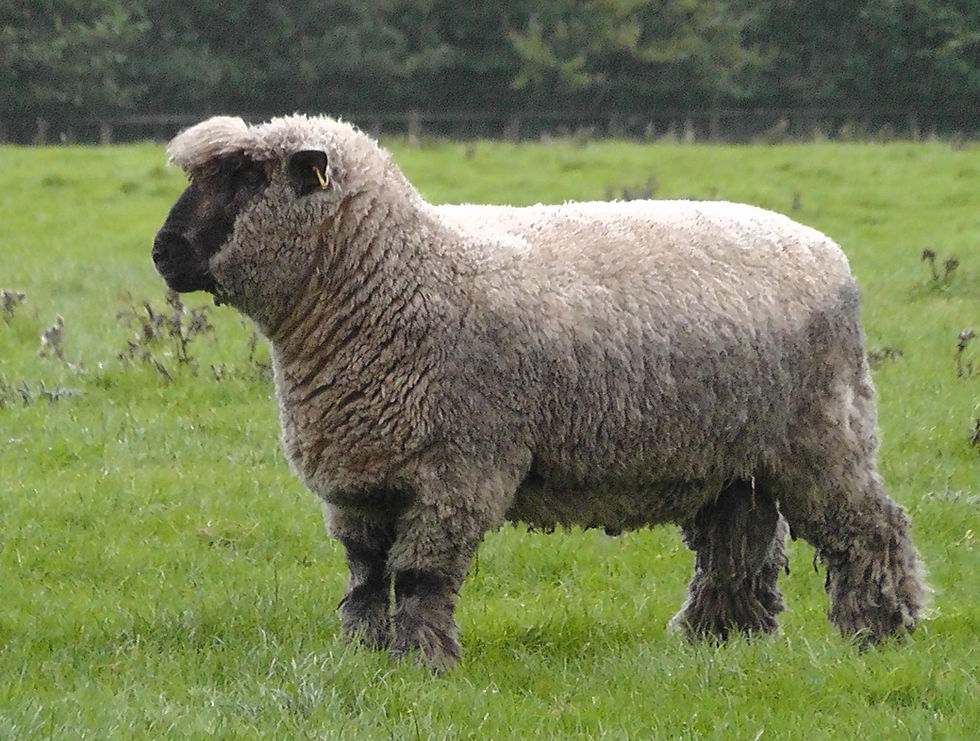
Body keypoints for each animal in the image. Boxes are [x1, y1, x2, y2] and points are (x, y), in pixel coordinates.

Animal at [152, 114, 927, 671]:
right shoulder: (360, 475)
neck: (402, 279)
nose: (163, 252)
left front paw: (421, 663)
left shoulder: (461, 467)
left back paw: (883, 629)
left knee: (871, 526)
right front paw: (361, 654)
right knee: (738, 542)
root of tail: (825, 248)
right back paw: (719, 638)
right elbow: (367, 576)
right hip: (733, 452)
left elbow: (421, 575)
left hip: (821, 432)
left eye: (248, 177)